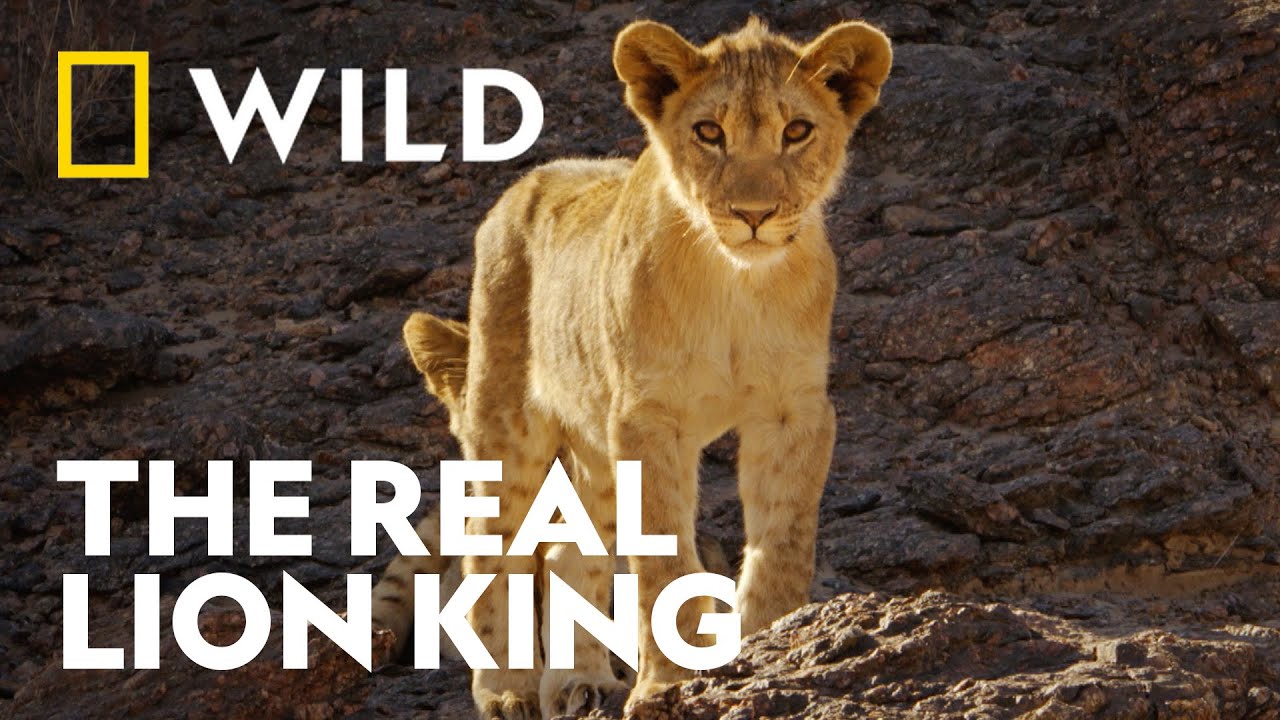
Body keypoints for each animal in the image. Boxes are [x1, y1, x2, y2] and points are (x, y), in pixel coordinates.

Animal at [370, 16, 892, 720]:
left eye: (798, 130)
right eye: (709, 132)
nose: (753, 215)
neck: (736, 281)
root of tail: (525, 183)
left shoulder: (794, 409)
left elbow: (783, 540)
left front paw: (770, 655)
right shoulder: (648, 417)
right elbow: (662, 560)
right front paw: (666, 685)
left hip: (593, 443)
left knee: (570, 556)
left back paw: (579, 682)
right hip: (506, 423)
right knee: (491, 550)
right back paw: (507, 689)